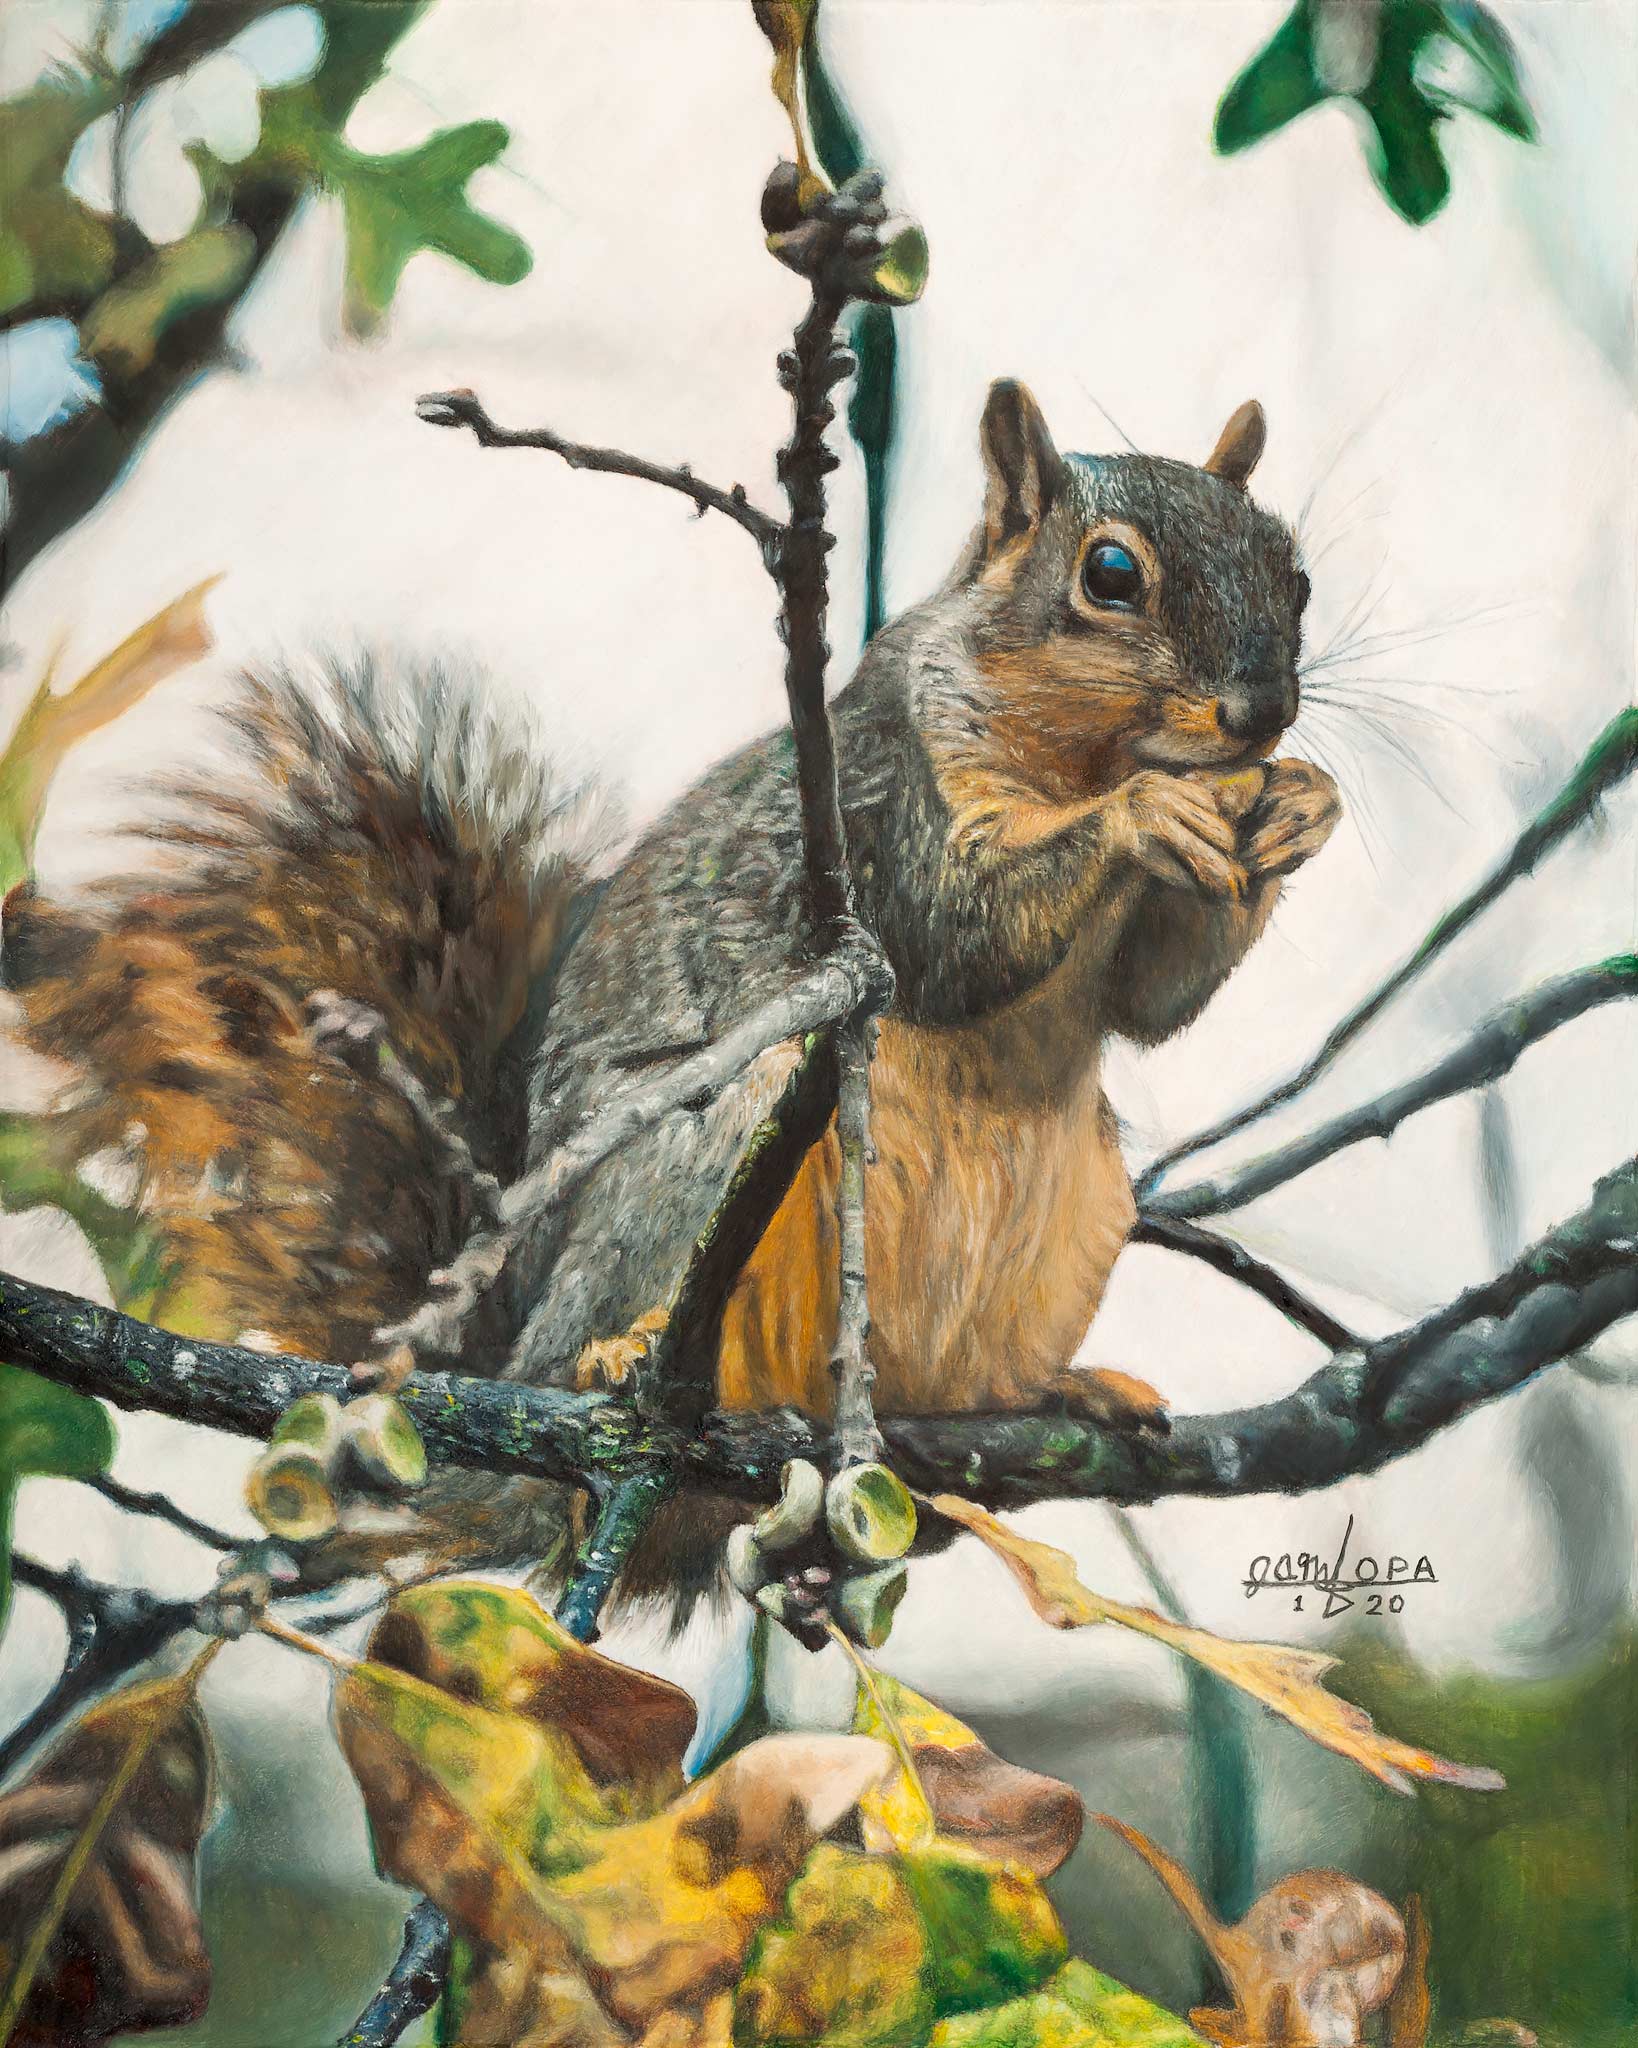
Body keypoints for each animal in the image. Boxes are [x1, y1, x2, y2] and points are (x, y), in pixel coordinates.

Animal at [1, 380, 1339, 1606]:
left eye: (1297, 573)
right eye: (1109, 574)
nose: (1261, 711)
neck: (1080, 754)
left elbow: (1151, 1001)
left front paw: (1301, 806)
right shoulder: (882, 805)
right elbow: (956, 940)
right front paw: (1149, 813)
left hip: (1074, 1216)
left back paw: (1049, 1390)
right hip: (701, 1144)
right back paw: (622, 1358)